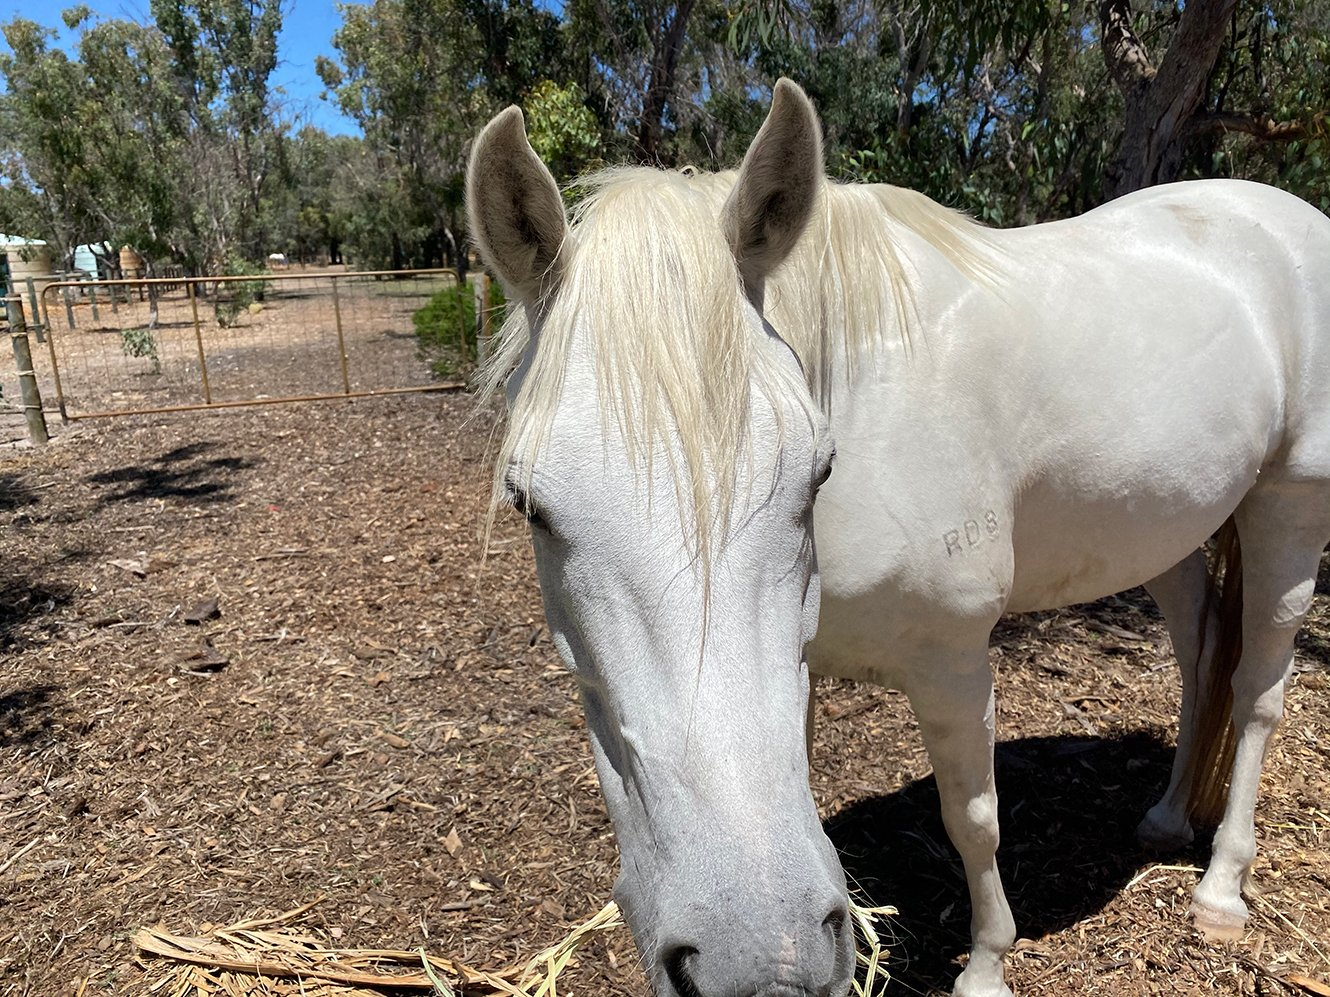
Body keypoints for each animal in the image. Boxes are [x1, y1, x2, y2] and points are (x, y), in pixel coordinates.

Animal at [464, 79, 1330, 997]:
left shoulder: (954, 658)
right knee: (1201, 660)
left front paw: (986, 964)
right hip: (1165, 532)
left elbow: (973, 815)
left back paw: (1222, 887)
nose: (757, 962)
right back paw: (1166, 819)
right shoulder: (802, 670)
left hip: (1287, 510)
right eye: (528, 505)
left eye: (818, 470)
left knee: (1258, 687)